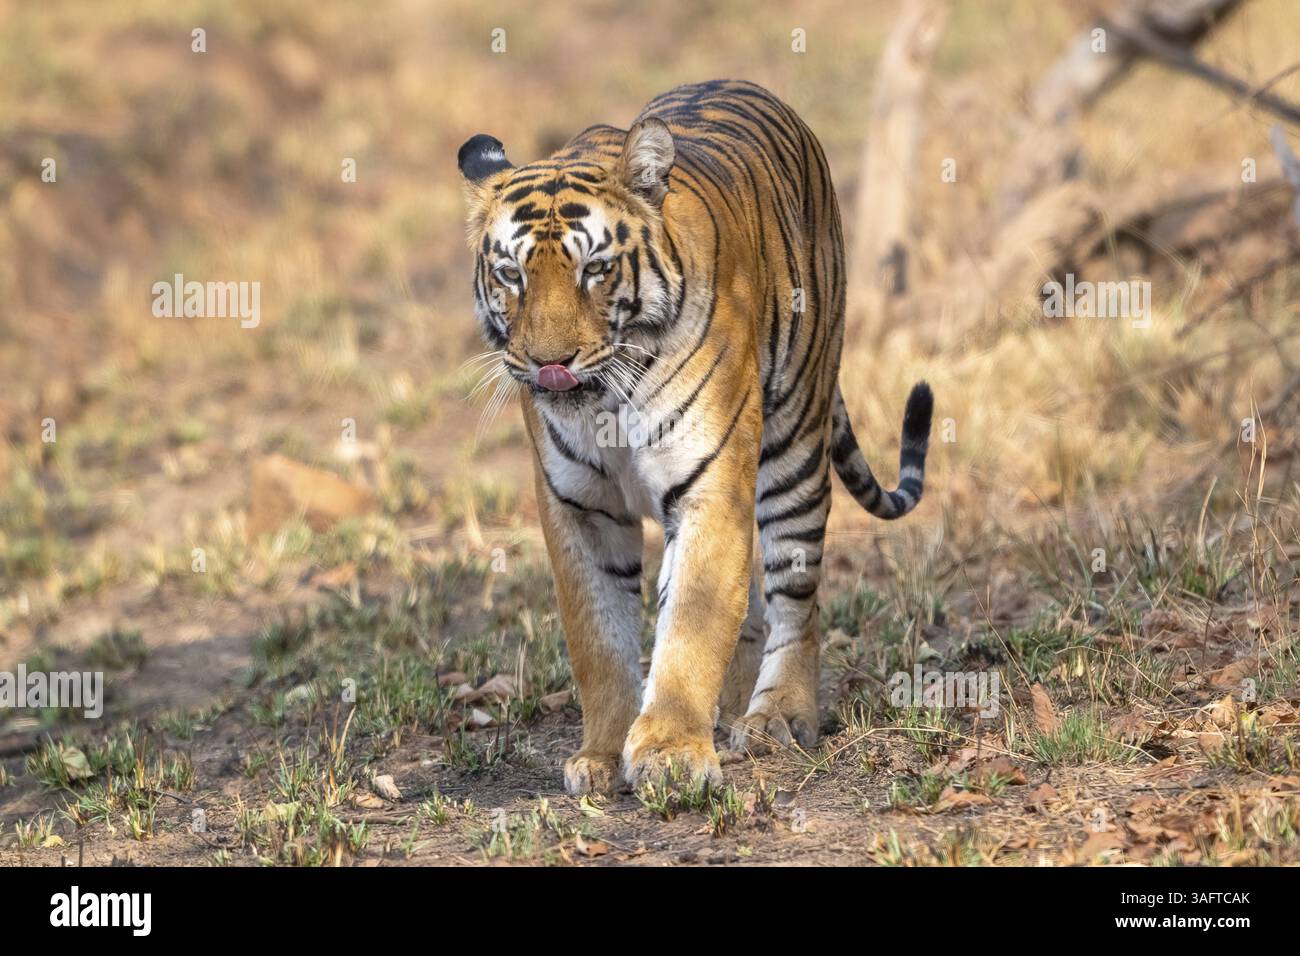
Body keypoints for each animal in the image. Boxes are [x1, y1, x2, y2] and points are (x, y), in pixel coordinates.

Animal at [458, 79, 932, 795]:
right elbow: (599, 640)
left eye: (595, 269)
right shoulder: (578, 509)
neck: (606, 400)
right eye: (512, 274)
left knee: (796, 597)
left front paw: (671, 752)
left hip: (794, 440)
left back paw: (777, 716)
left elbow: (688, 628)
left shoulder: (709, 489)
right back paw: (732, 710)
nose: (549, 362)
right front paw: (603, 755)